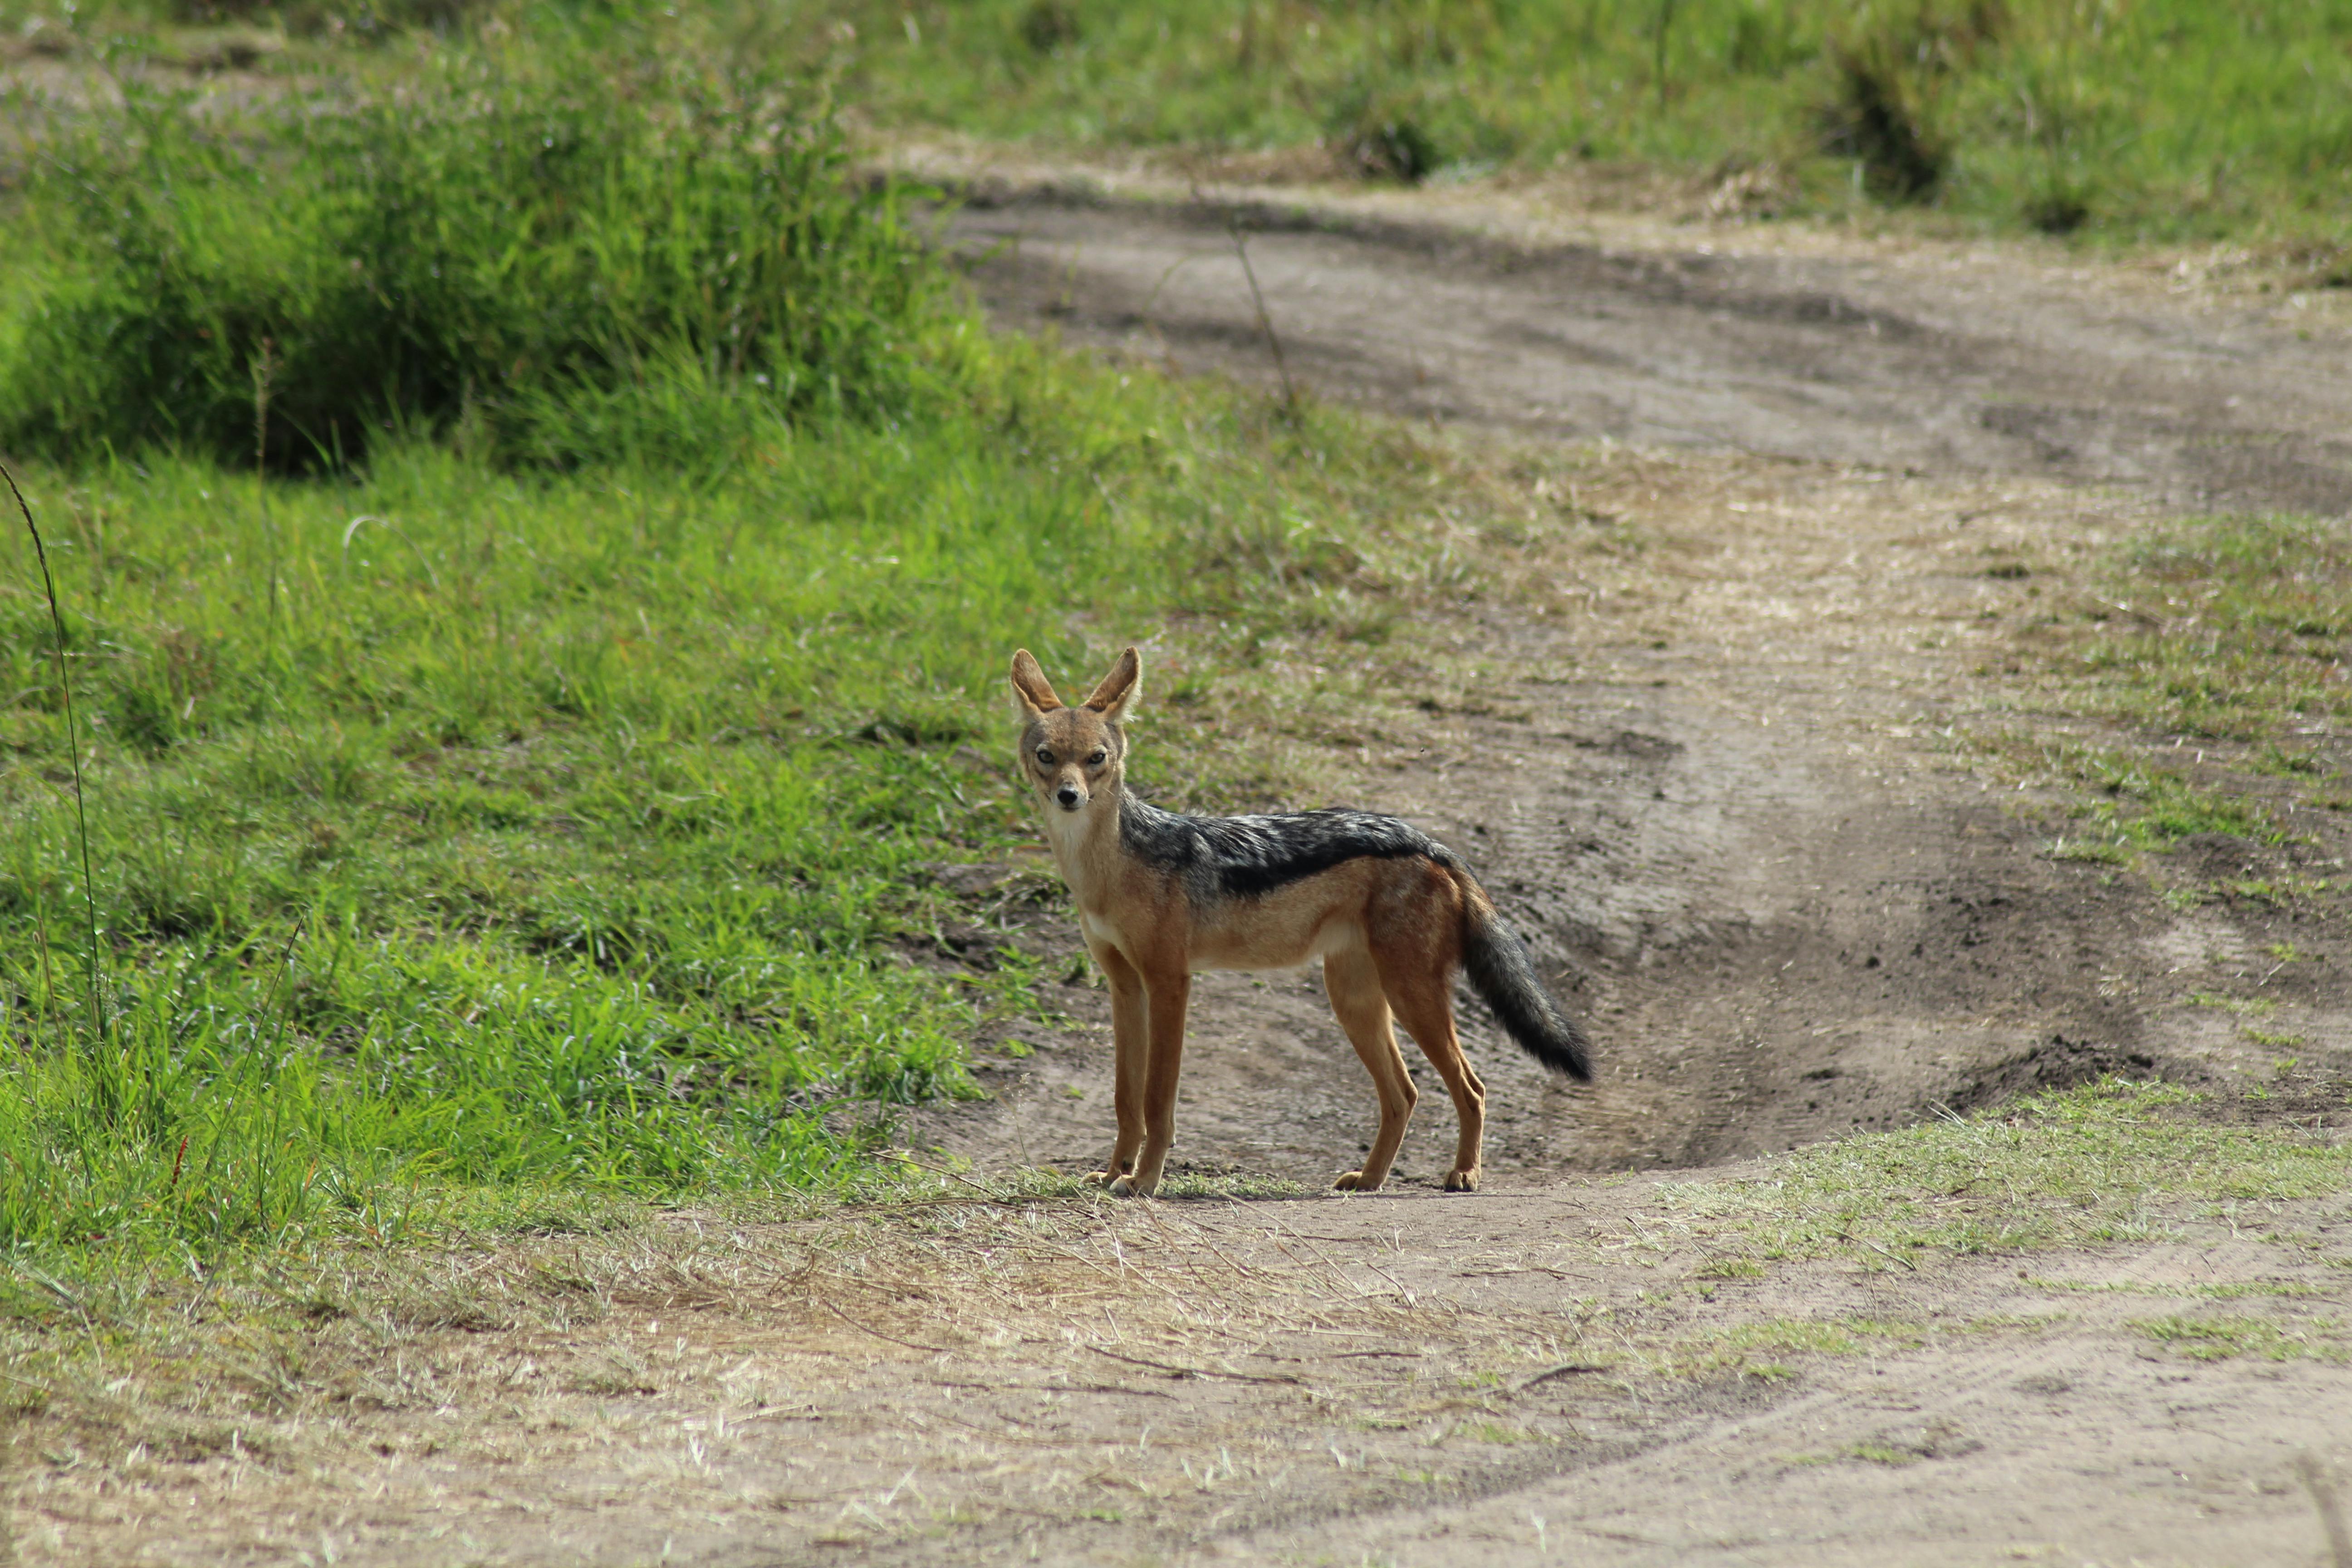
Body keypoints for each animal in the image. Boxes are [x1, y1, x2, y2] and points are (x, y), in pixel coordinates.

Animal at [1010, 645, 1592, 1197]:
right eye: (1047, 757)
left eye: (1096, 759)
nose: (1069, 796)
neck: (1107, 872)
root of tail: (1433, 845)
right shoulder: (1125, 987)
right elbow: (1125, 1100)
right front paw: (1113, 1174)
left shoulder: (1171, 983)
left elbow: (1157, 1102)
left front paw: (1144, 1182)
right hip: (1357, 1002)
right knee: (1405, 1094)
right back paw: (1371, 1180)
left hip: (1409, 998)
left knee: (1472, 1088)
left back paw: (1464, 1174)